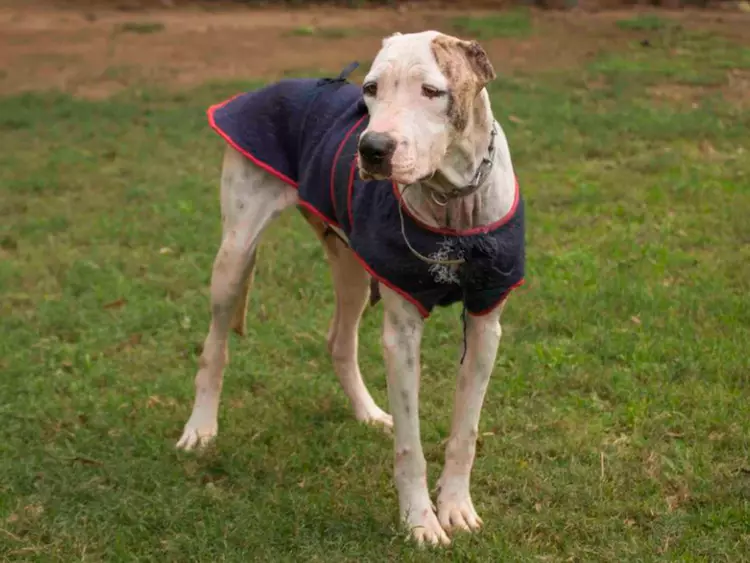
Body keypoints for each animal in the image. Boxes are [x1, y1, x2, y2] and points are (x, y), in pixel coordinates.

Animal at [178, 30, 524, 548]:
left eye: (432, 91)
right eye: (371, 88)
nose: (373, 148)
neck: (451, 202)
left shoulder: (485, 323)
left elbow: (465, 430)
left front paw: (456, 507)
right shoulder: (402, 334)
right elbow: (410, 446)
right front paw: (419, 520)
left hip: (353, 269)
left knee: (339, 342)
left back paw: (367, 413)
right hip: (235, 255)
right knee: (214, 348)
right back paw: (200, 428)